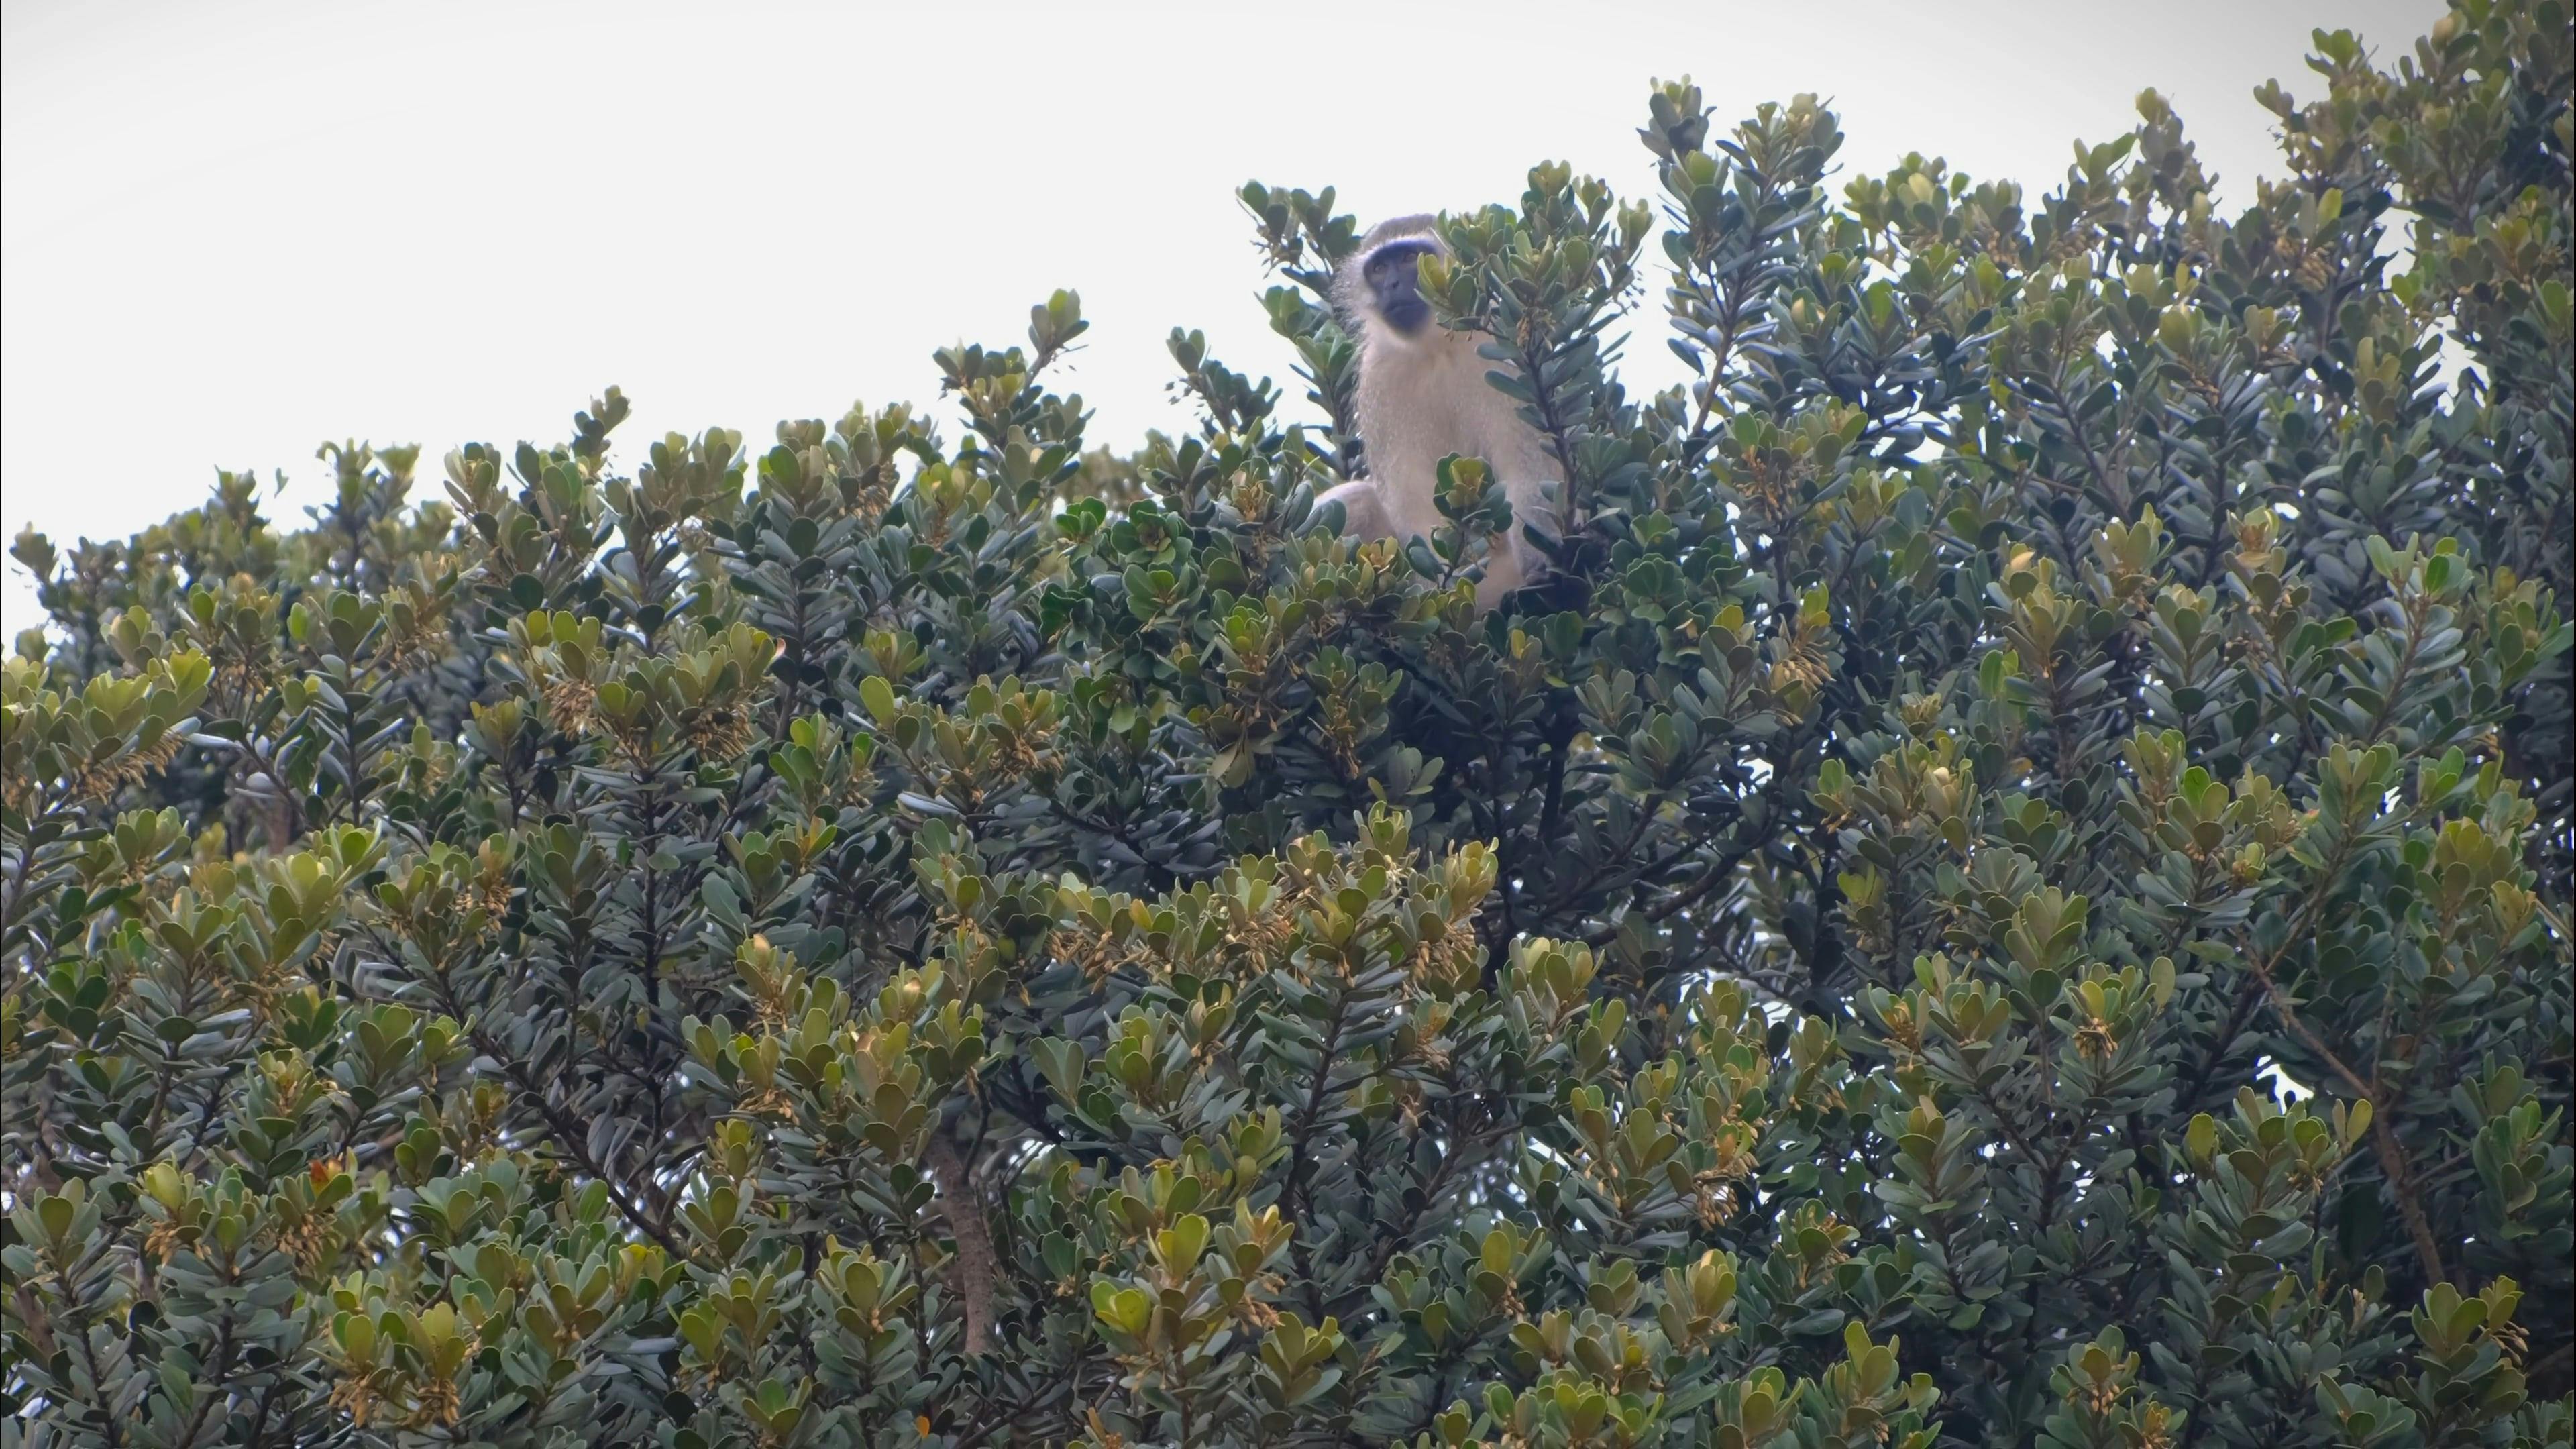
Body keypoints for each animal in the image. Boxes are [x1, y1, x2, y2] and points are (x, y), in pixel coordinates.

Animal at [1313, 214, 1561, 611]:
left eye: (1409, 258)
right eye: (1379, 268)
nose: (1393, 285)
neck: (1434, 349)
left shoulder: (1503, 354)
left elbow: (1526, 465)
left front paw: (1543, 569)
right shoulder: (1378, 379)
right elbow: (1409, 495)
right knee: (1354, 503)